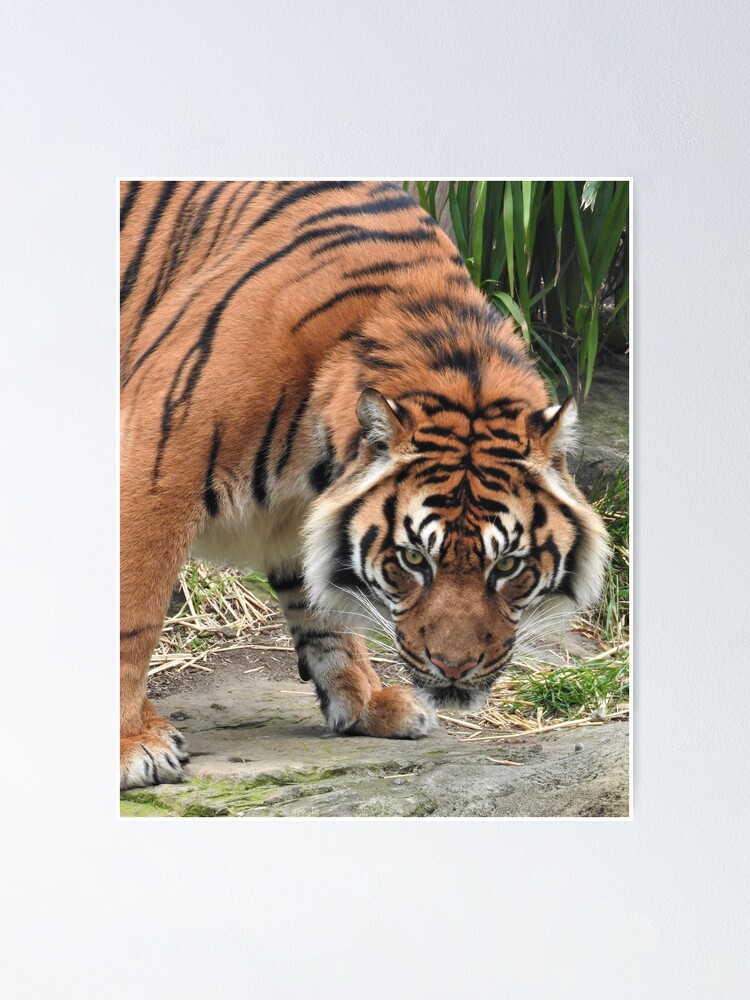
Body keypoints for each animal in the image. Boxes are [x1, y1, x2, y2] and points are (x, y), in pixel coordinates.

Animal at [120, 180, 610, 791]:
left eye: (508, 566)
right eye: (414, 560)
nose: (453, 669)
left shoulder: (305, 511)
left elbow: (321, 607)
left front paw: (364, 705)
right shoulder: (157, 462)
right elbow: (132, 614)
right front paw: (130, 745)